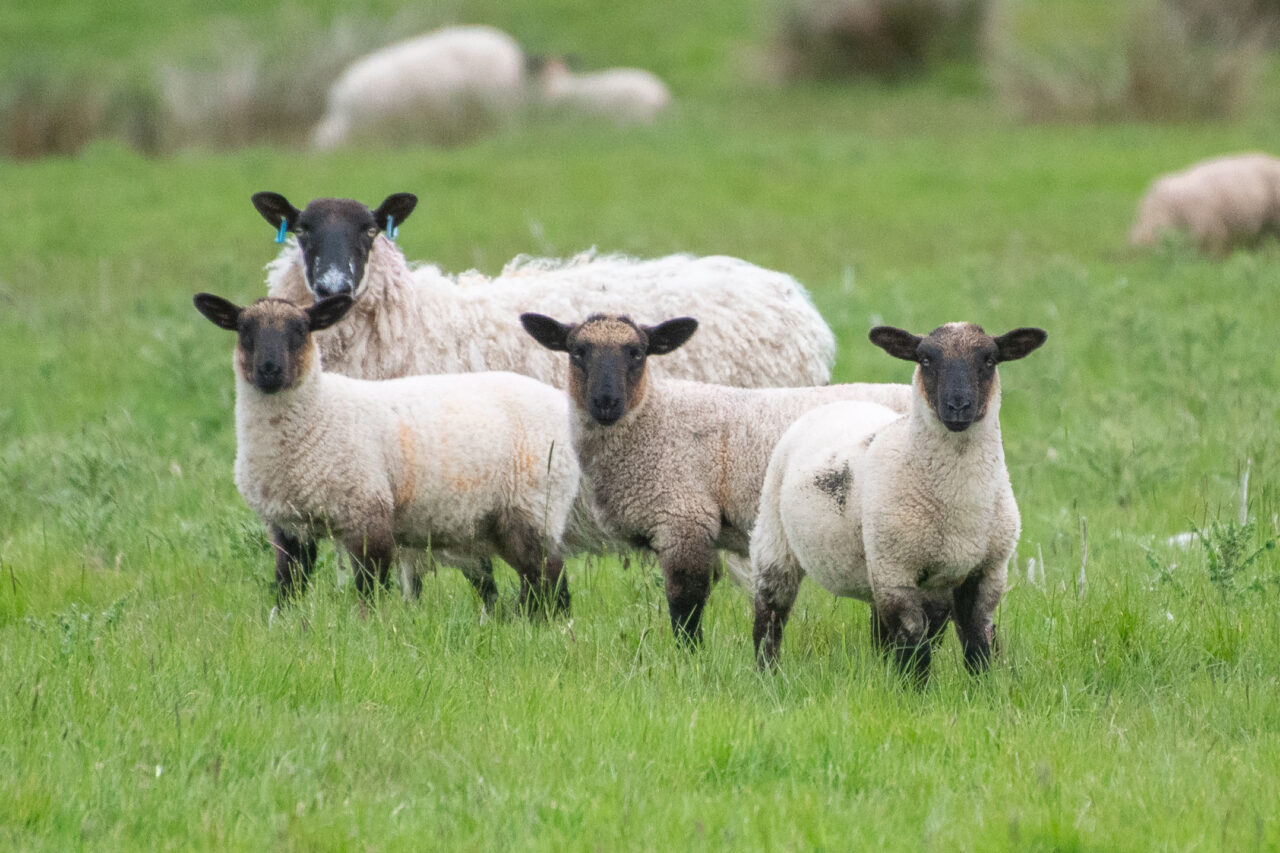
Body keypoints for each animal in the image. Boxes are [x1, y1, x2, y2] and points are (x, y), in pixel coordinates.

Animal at [192, 292, 579, 613]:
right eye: (244, 330)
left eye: (301, 331)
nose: (269, 370)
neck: (317, 415)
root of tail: (561, 405)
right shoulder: (288, 524)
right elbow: (289, 585)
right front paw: (287, 624)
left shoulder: (369, 511)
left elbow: (371, 587)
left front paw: (369, 628)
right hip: (501, 520)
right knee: (538, 579)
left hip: (533, 506)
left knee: (549, 576)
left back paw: (545, 625)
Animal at [520, 311, 912, 645]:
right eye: (577, 352)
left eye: (637, 353)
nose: (605, 401)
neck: (651, 418)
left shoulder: (684, 519)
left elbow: (685, 606)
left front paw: (689, 660)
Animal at [751, 322, 1047, 682]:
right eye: (925, 358)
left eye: (990, 360)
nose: (958, 407)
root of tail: (840, 401)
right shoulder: (897, 573)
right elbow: (913, 647)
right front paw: (914, 690)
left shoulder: (985, 573)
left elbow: (977, 644)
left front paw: (981, 689)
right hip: (774, 540)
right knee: (769, 618)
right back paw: (766, 675)